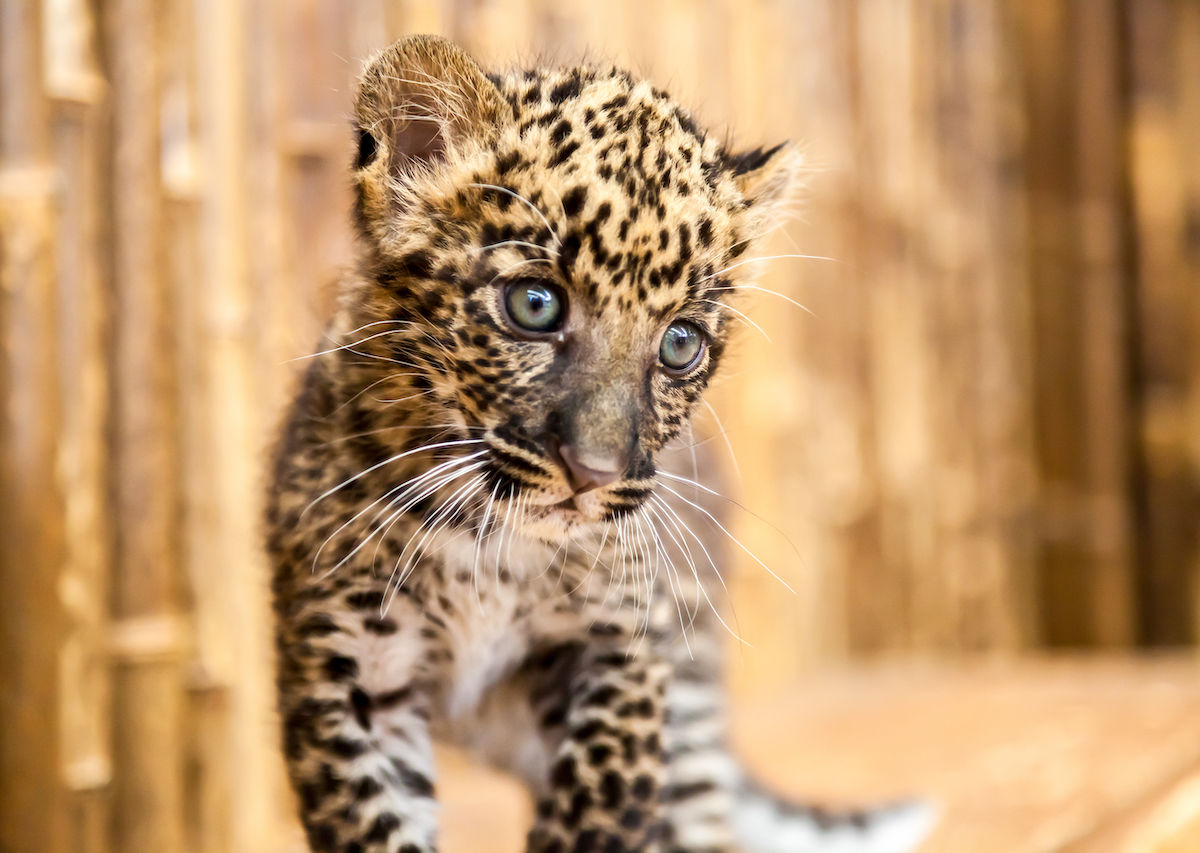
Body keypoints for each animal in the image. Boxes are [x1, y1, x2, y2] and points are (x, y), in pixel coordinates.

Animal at [265, 34, 934, 853]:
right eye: (534, 304)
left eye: (680, 344)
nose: (593, 472)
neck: (487, 544)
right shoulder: (347, 673)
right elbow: (375, 825)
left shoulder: (624, 647)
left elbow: (601, 799)